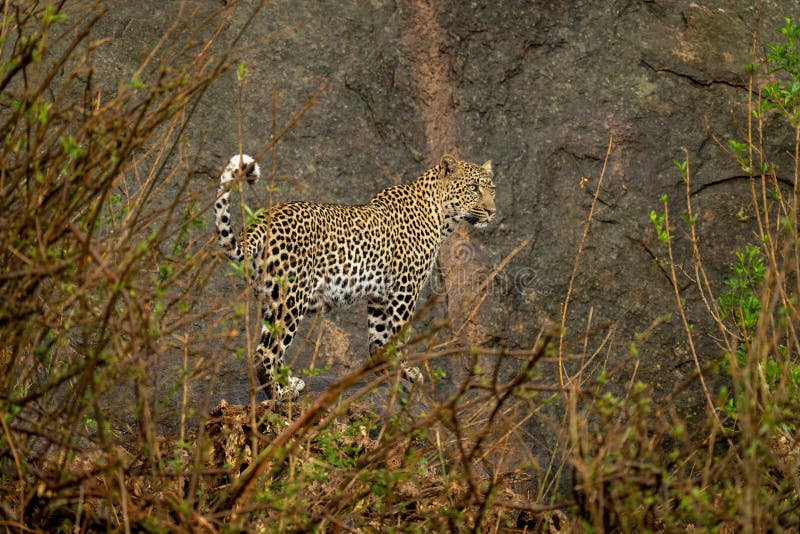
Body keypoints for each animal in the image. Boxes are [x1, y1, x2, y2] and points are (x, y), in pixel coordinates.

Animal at [215, 153, 496, 400]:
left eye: (492, 189)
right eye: (473, 188)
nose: (492, 211)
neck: (441, 217)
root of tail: (262, 219)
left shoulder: (379, 295)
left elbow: (378, 337)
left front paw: (385, 368)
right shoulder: (405, 289)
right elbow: (400, 334)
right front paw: (406, 370)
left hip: (272, 297)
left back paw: (289, 384)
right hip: (292, 296)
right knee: (266, 353)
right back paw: (281, 395)